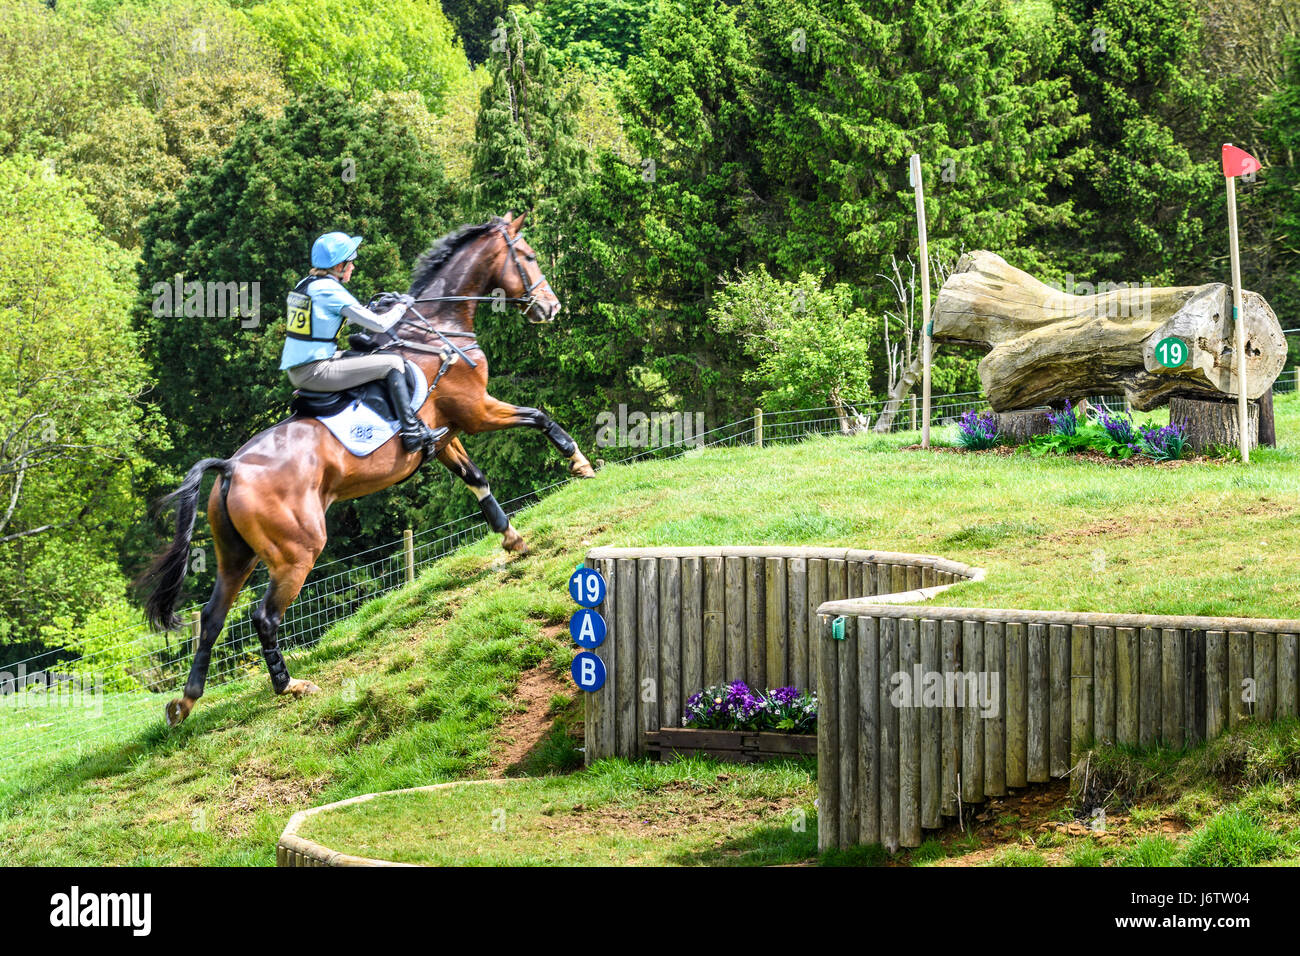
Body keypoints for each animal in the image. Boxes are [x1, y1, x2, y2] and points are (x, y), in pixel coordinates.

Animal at [140, 213, 596, 727]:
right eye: (530, 255)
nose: (551, 307)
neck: (435, 331)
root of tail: (231, 467)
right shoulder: (477, 410)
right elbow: (539, 416)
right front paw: (579, 462)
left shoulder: (444, 434)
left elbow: (476, 479)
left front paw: (512, 538)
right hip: (297, 551)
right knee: (264, 617)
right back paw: (288, 685)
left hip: (236, 555)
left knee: (213, 618)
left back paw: (186, 701)